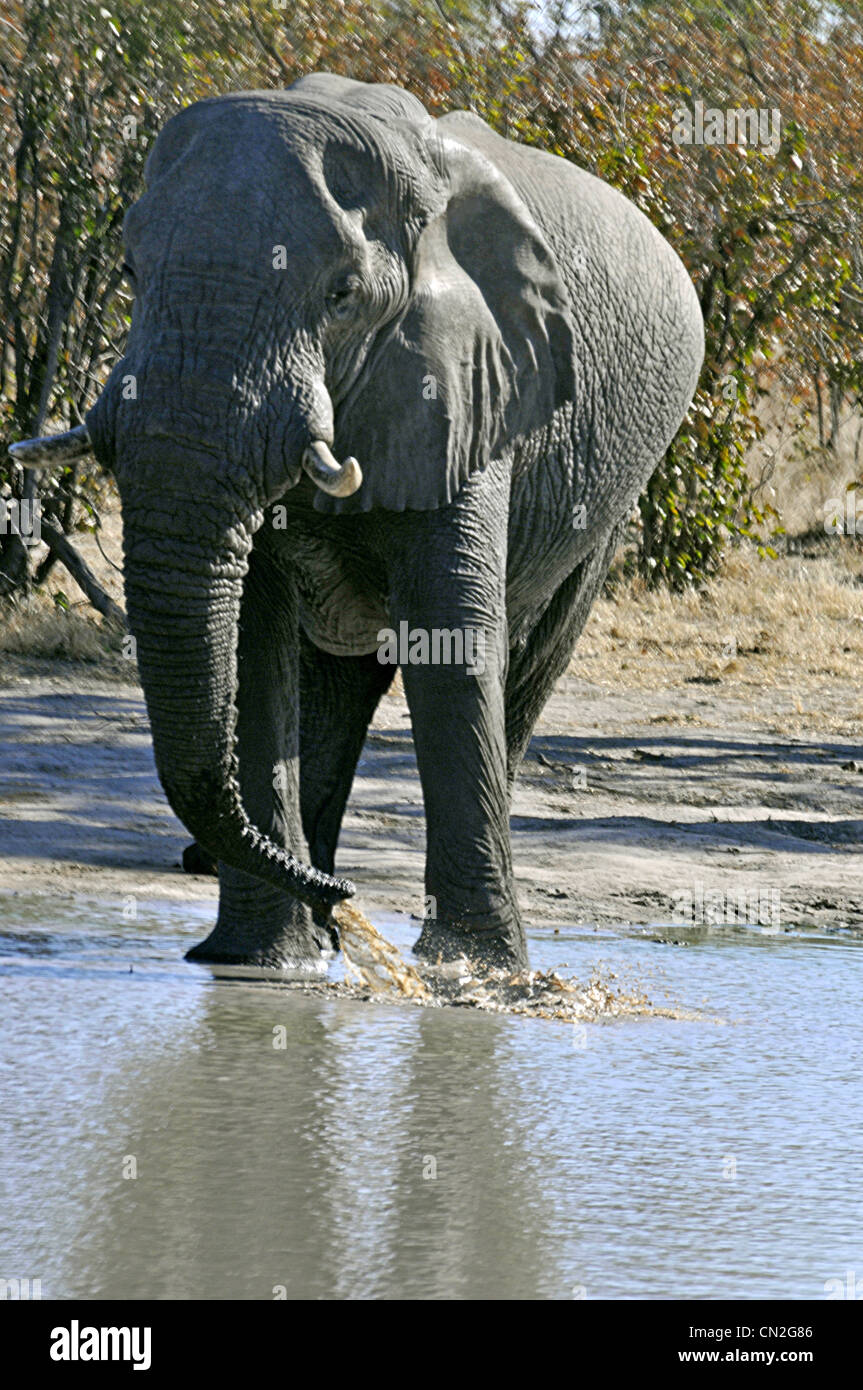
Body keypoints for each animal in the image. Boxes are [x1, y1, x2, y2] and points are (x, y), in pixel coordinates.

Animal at [10, 74, 704, 973]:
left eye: (341, 296)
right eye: (130, 270)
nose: (345, 900)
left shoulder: (470, 380)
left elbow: (450, 638)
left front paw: (476, 973)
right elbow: (256, 641)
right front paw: (263, 961)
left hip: (615, 492)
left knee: (531, 650)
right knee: (336, 682)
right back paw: (310, 910)